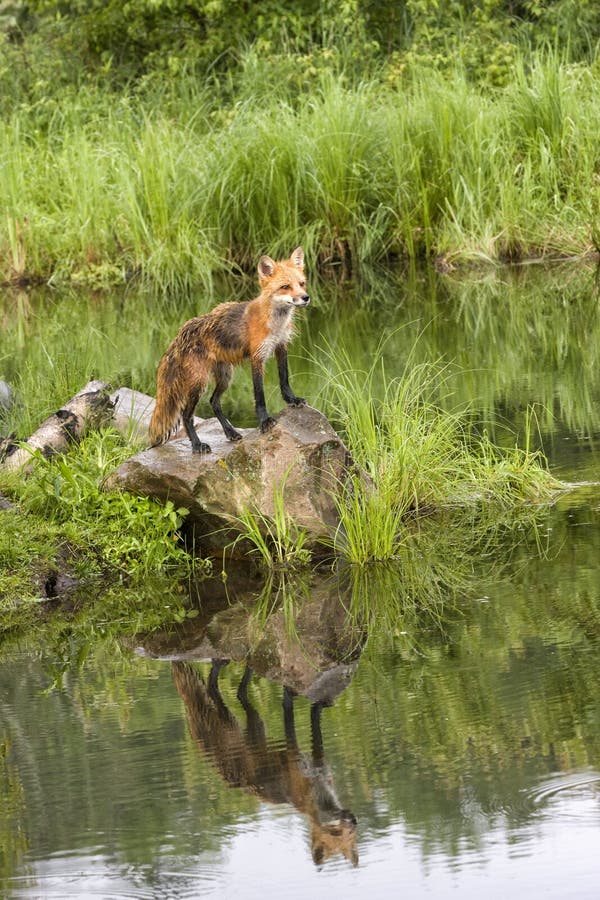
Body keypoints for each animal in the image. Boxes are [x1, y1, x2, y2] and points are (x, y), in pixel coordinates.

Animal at [148, 246, 310, 453]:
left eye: (302, 283)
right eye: (285, 286)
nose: (305, 298)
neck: (276, 324)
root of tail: (179, 335)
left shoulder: (281, 347)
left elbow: (284, 379)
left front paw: (292, 400)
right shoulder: (257, 356)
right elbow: (259, 395)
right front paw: (264, 421)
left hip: (225, 377)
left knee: (214, 402)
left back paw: (230, 431)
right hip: (199, 382)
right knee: (186, 414)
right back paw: (197, 444)